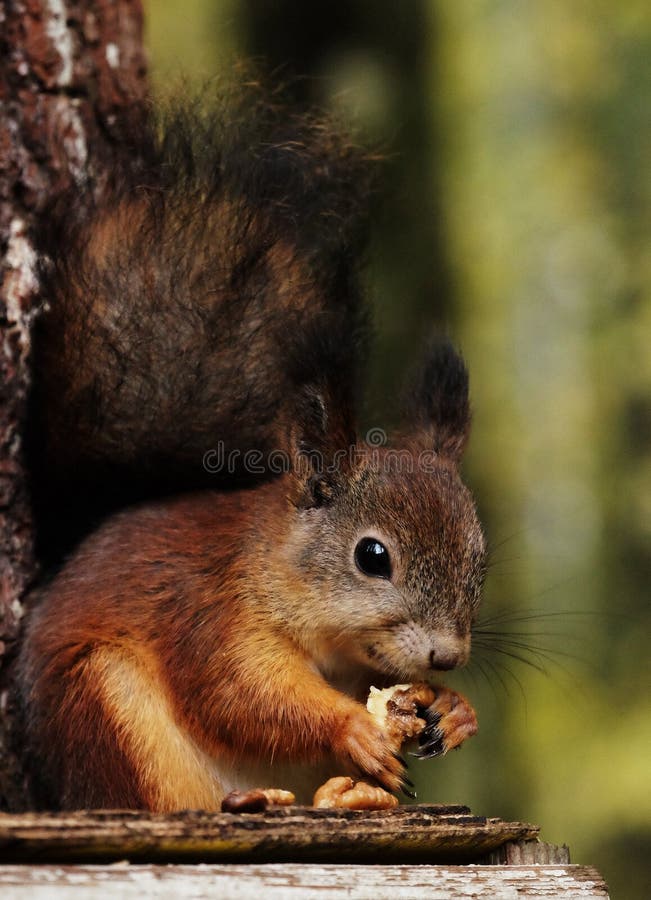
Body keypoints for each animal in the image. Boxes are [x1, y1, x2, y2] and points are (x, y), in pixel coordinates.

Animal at [17, 82, 486, 811]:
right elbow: (240, 692)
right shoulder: (210, 612)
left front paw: (455, 709)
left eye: (479, 560)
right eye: (372, 557)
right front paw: (352, 727)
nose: (446, 657)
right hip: (106, 702)